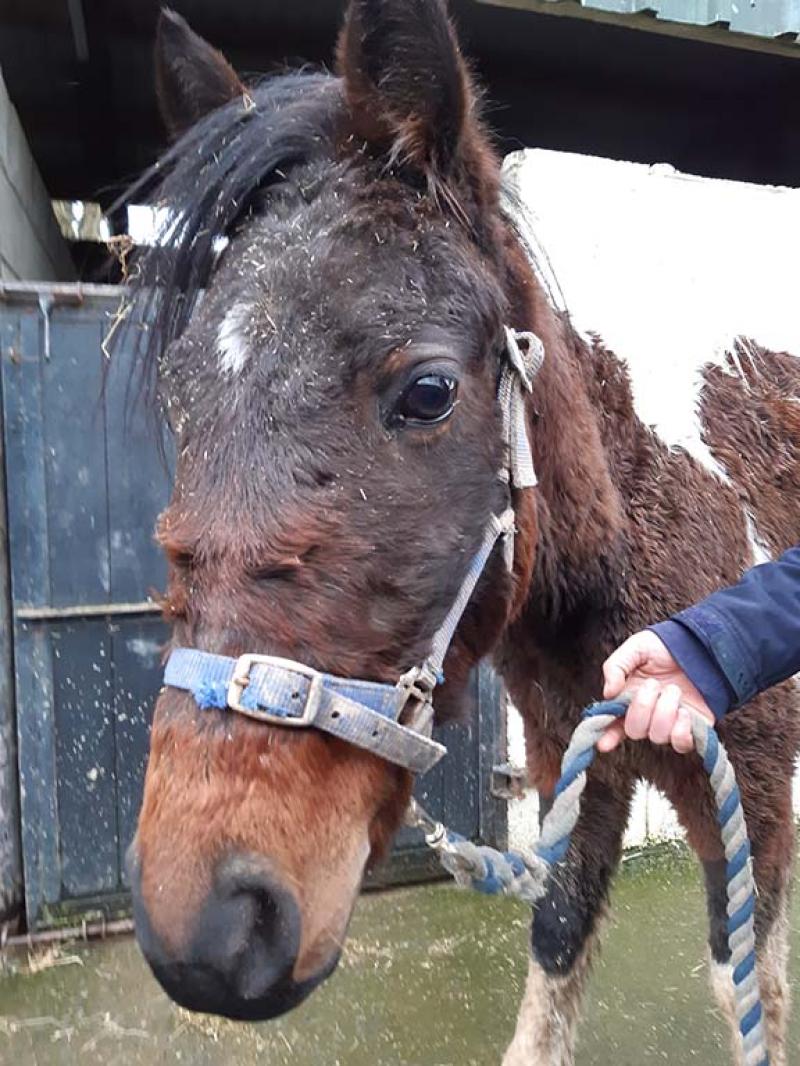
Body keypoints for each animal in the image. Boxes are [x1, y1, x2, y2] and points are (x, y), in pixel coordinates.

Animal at [125, 4, 800, 1063]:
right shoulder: (573, 757)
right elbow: (558, 935)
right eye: (179, 393)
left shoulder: (756, 796)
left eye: (429, 391)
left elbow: (753, 990)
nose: (212, 927)